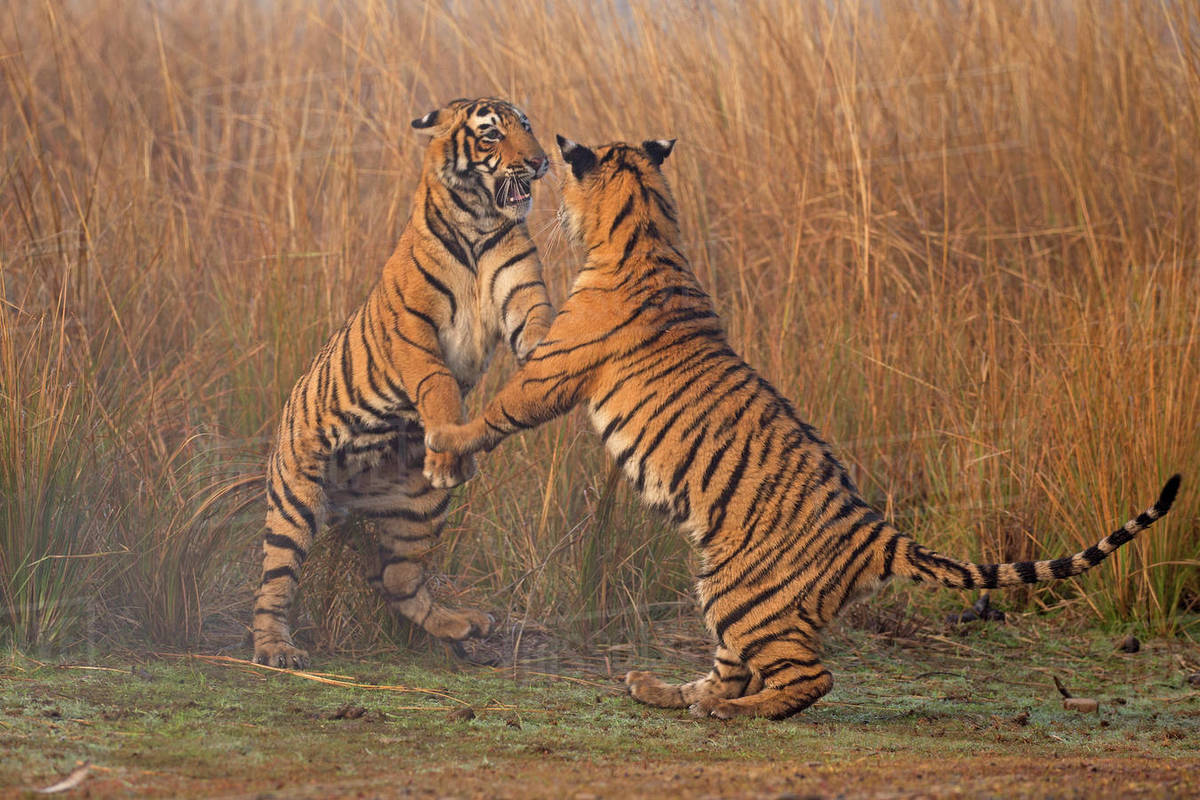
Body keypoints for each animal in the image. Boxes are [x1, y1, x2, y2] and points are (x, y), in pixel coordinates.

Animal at [252, 98, 555, 669]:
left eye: (528, 128)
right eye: (492, 136)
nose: (540, 161)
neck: (480, 223)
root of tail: (350, 499)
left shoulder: (524, 300)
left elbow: (546, 334)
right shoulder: (414, 333)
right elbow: (437, 385)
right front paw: (448, 444)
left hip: (420, 510)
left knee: (397, 581)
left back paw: (464, 625)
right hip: (295, 498)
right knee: (274, 583)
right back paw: (275, 648)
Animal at [424, 134, 1182, 719]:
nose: (543, 199)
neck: (647, 227)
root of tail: (880, 533)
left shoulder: (553, 369)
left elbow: (500, 408)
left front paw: (445, 442)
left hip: (743, 594)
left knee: (807, 677)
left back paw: (722, 709)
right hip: (723, 589)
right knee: (735, 668)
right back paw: (664, 691)